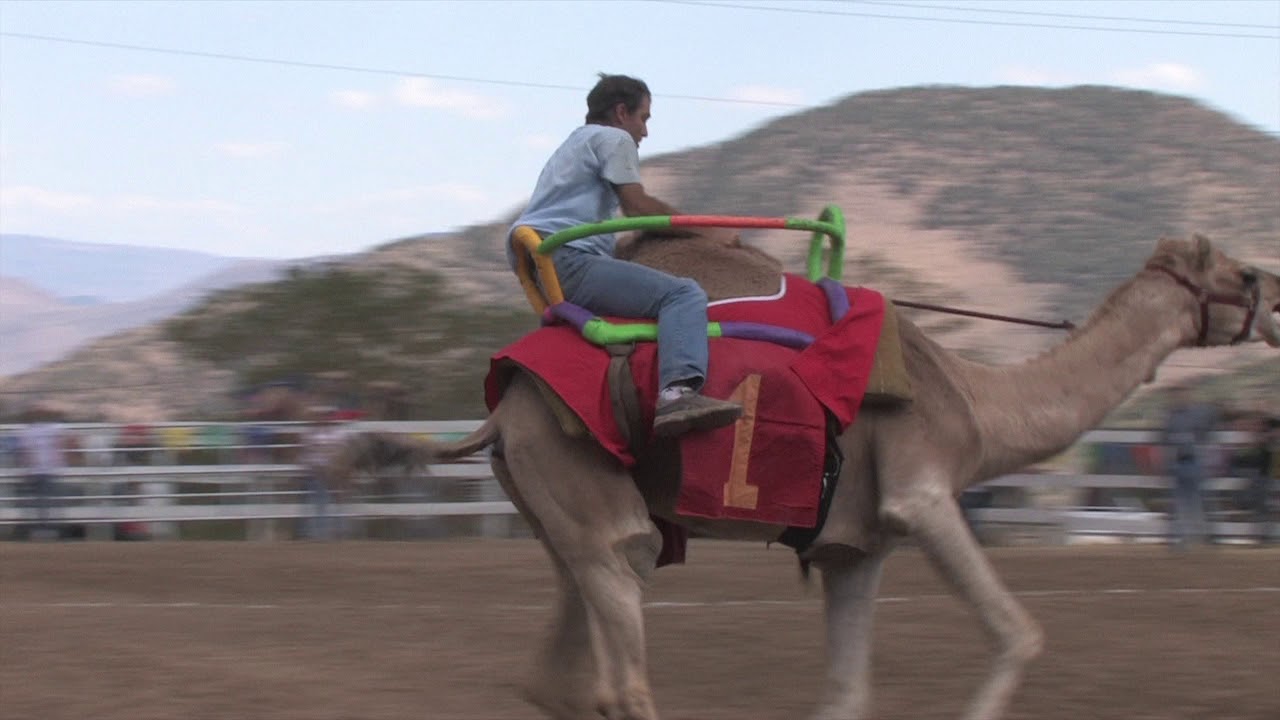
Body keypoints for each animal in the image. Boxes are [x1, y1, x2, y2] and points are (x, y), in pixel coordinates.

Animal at [332, 231, 1280, 720]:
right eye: (1240, 271)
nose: (1274, 301)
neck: (977, 404)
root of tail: (504, 404)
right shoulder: (924, 492)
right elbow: (1019, 633)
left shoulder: (855, 547)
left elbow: (846, 694)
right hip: (589, 489)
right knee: (623, 669)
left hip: (555, 501)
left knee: (567, 664)